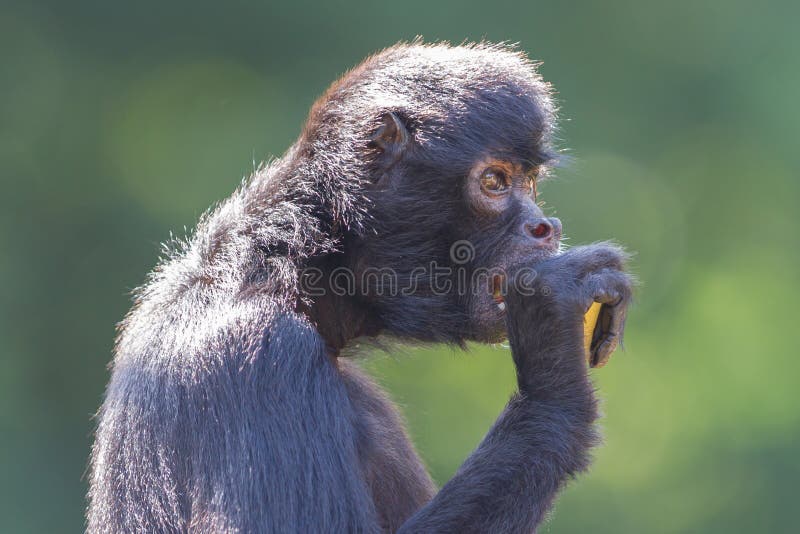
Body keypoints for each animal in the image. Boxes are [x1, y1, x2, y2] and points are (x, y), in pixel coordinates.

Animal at [87, 41, 633, 533]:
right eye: (496, 182)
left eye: (530, 183)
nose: (545, 226)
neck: (280, 269)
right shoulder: (259, 351)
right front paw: (552, 374)